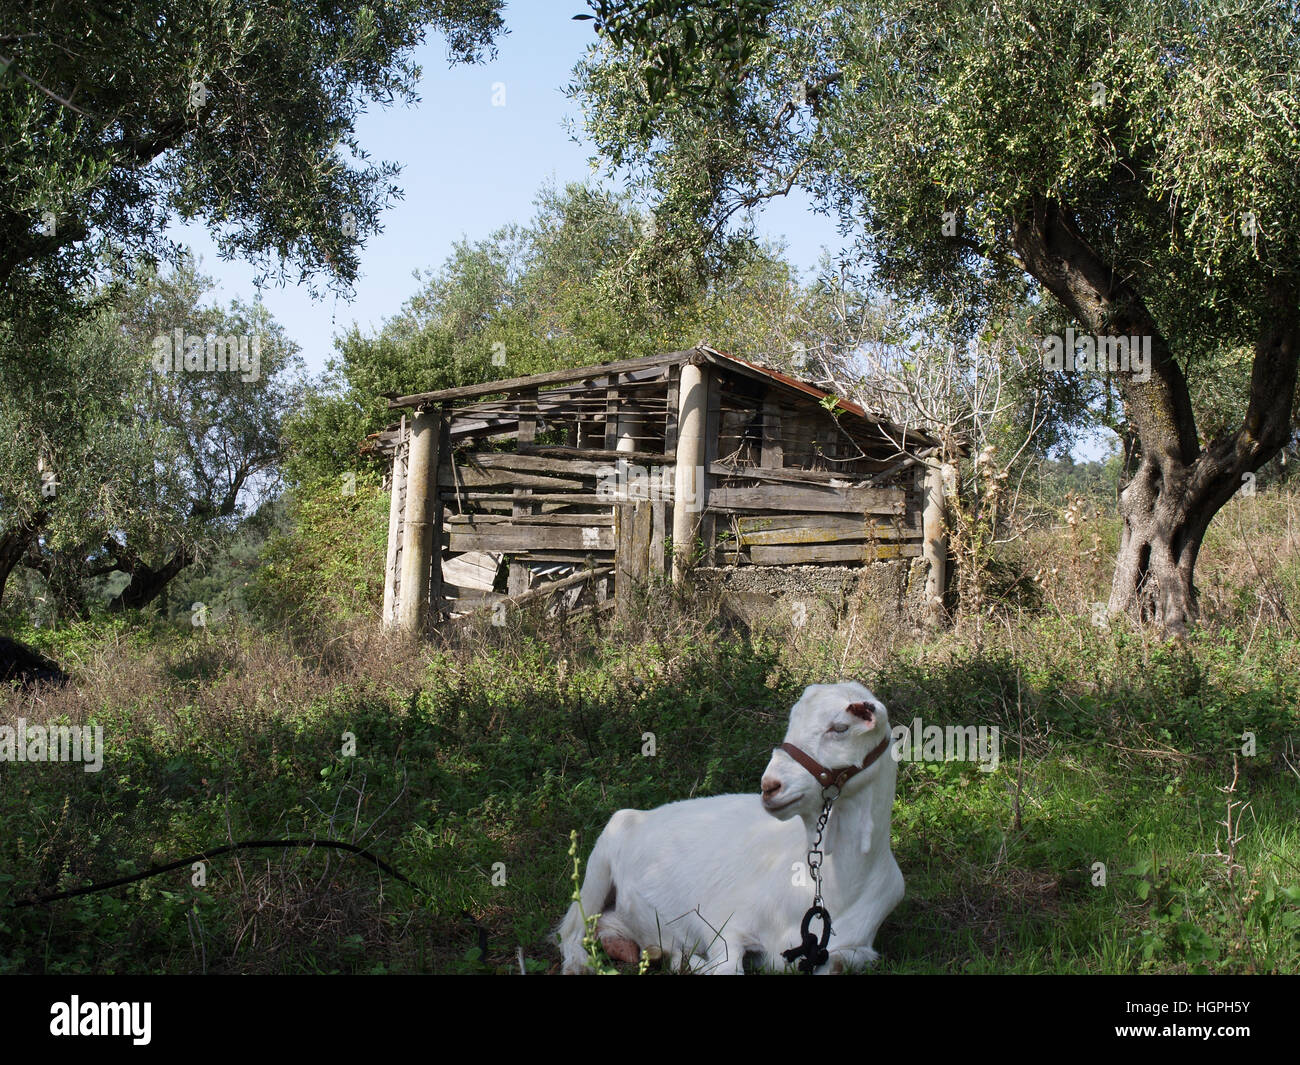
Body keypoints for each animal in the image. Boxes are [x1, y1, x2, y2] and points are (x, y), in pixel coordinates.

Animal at [558, 681, 904, 974]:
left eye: (840, 728)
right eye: (792, 725)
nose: (770, 786)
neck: (829, 887)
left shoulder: (856, 948)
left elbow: (839, 964)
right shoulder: (723, 923)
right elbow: (729, 966)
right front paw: (688, 960)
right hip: (598, 867)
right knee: (571, 933)